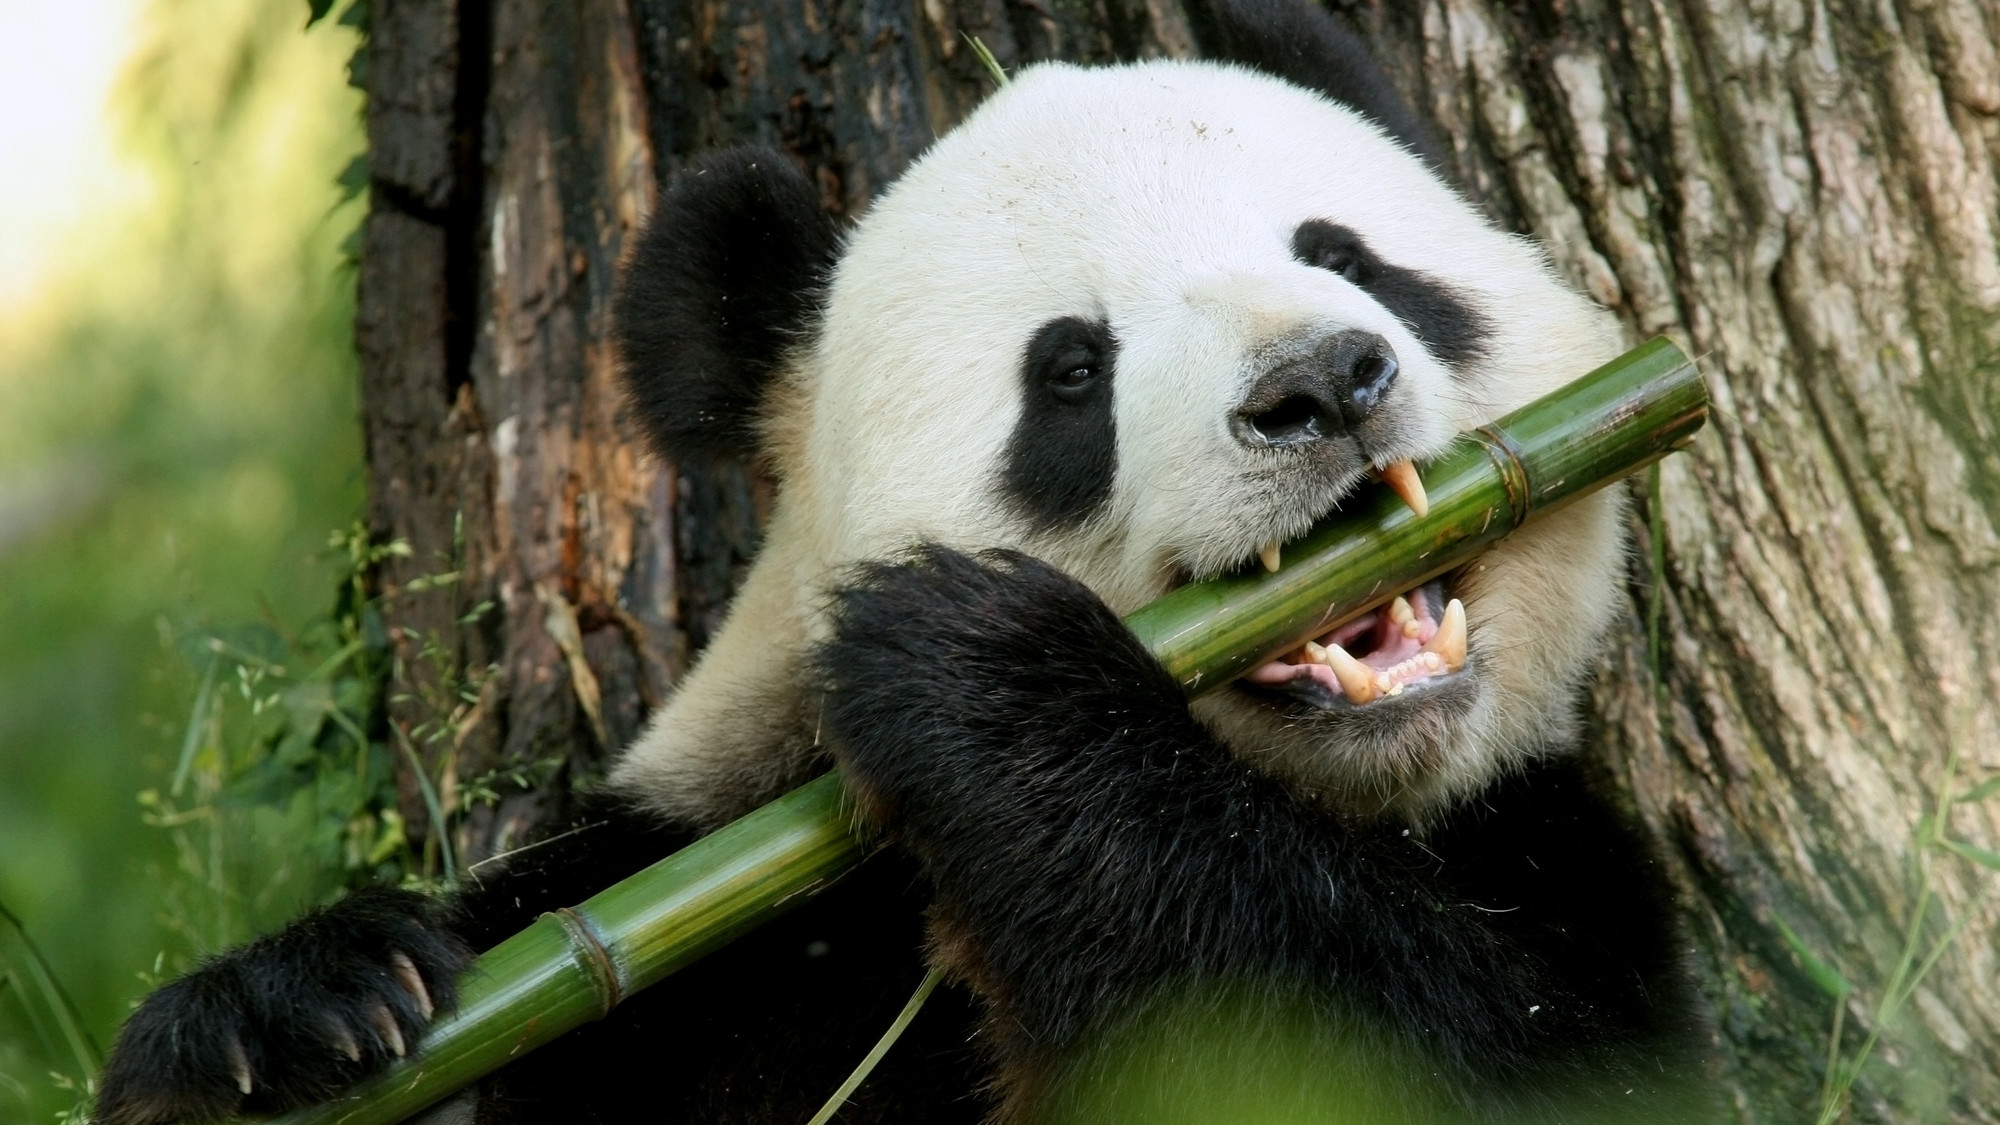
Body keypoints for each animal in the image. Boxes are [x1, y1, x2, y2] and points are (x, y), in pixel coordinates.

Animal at [95, 2, 1707, 1122]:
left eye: (1352, 258)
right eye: (1070, 371)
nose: (1321, 382)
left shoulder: (1554, 862)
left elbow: (1437, 1054)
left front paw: (985, 681)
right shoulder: (714, 931)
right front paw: (288, 1017)